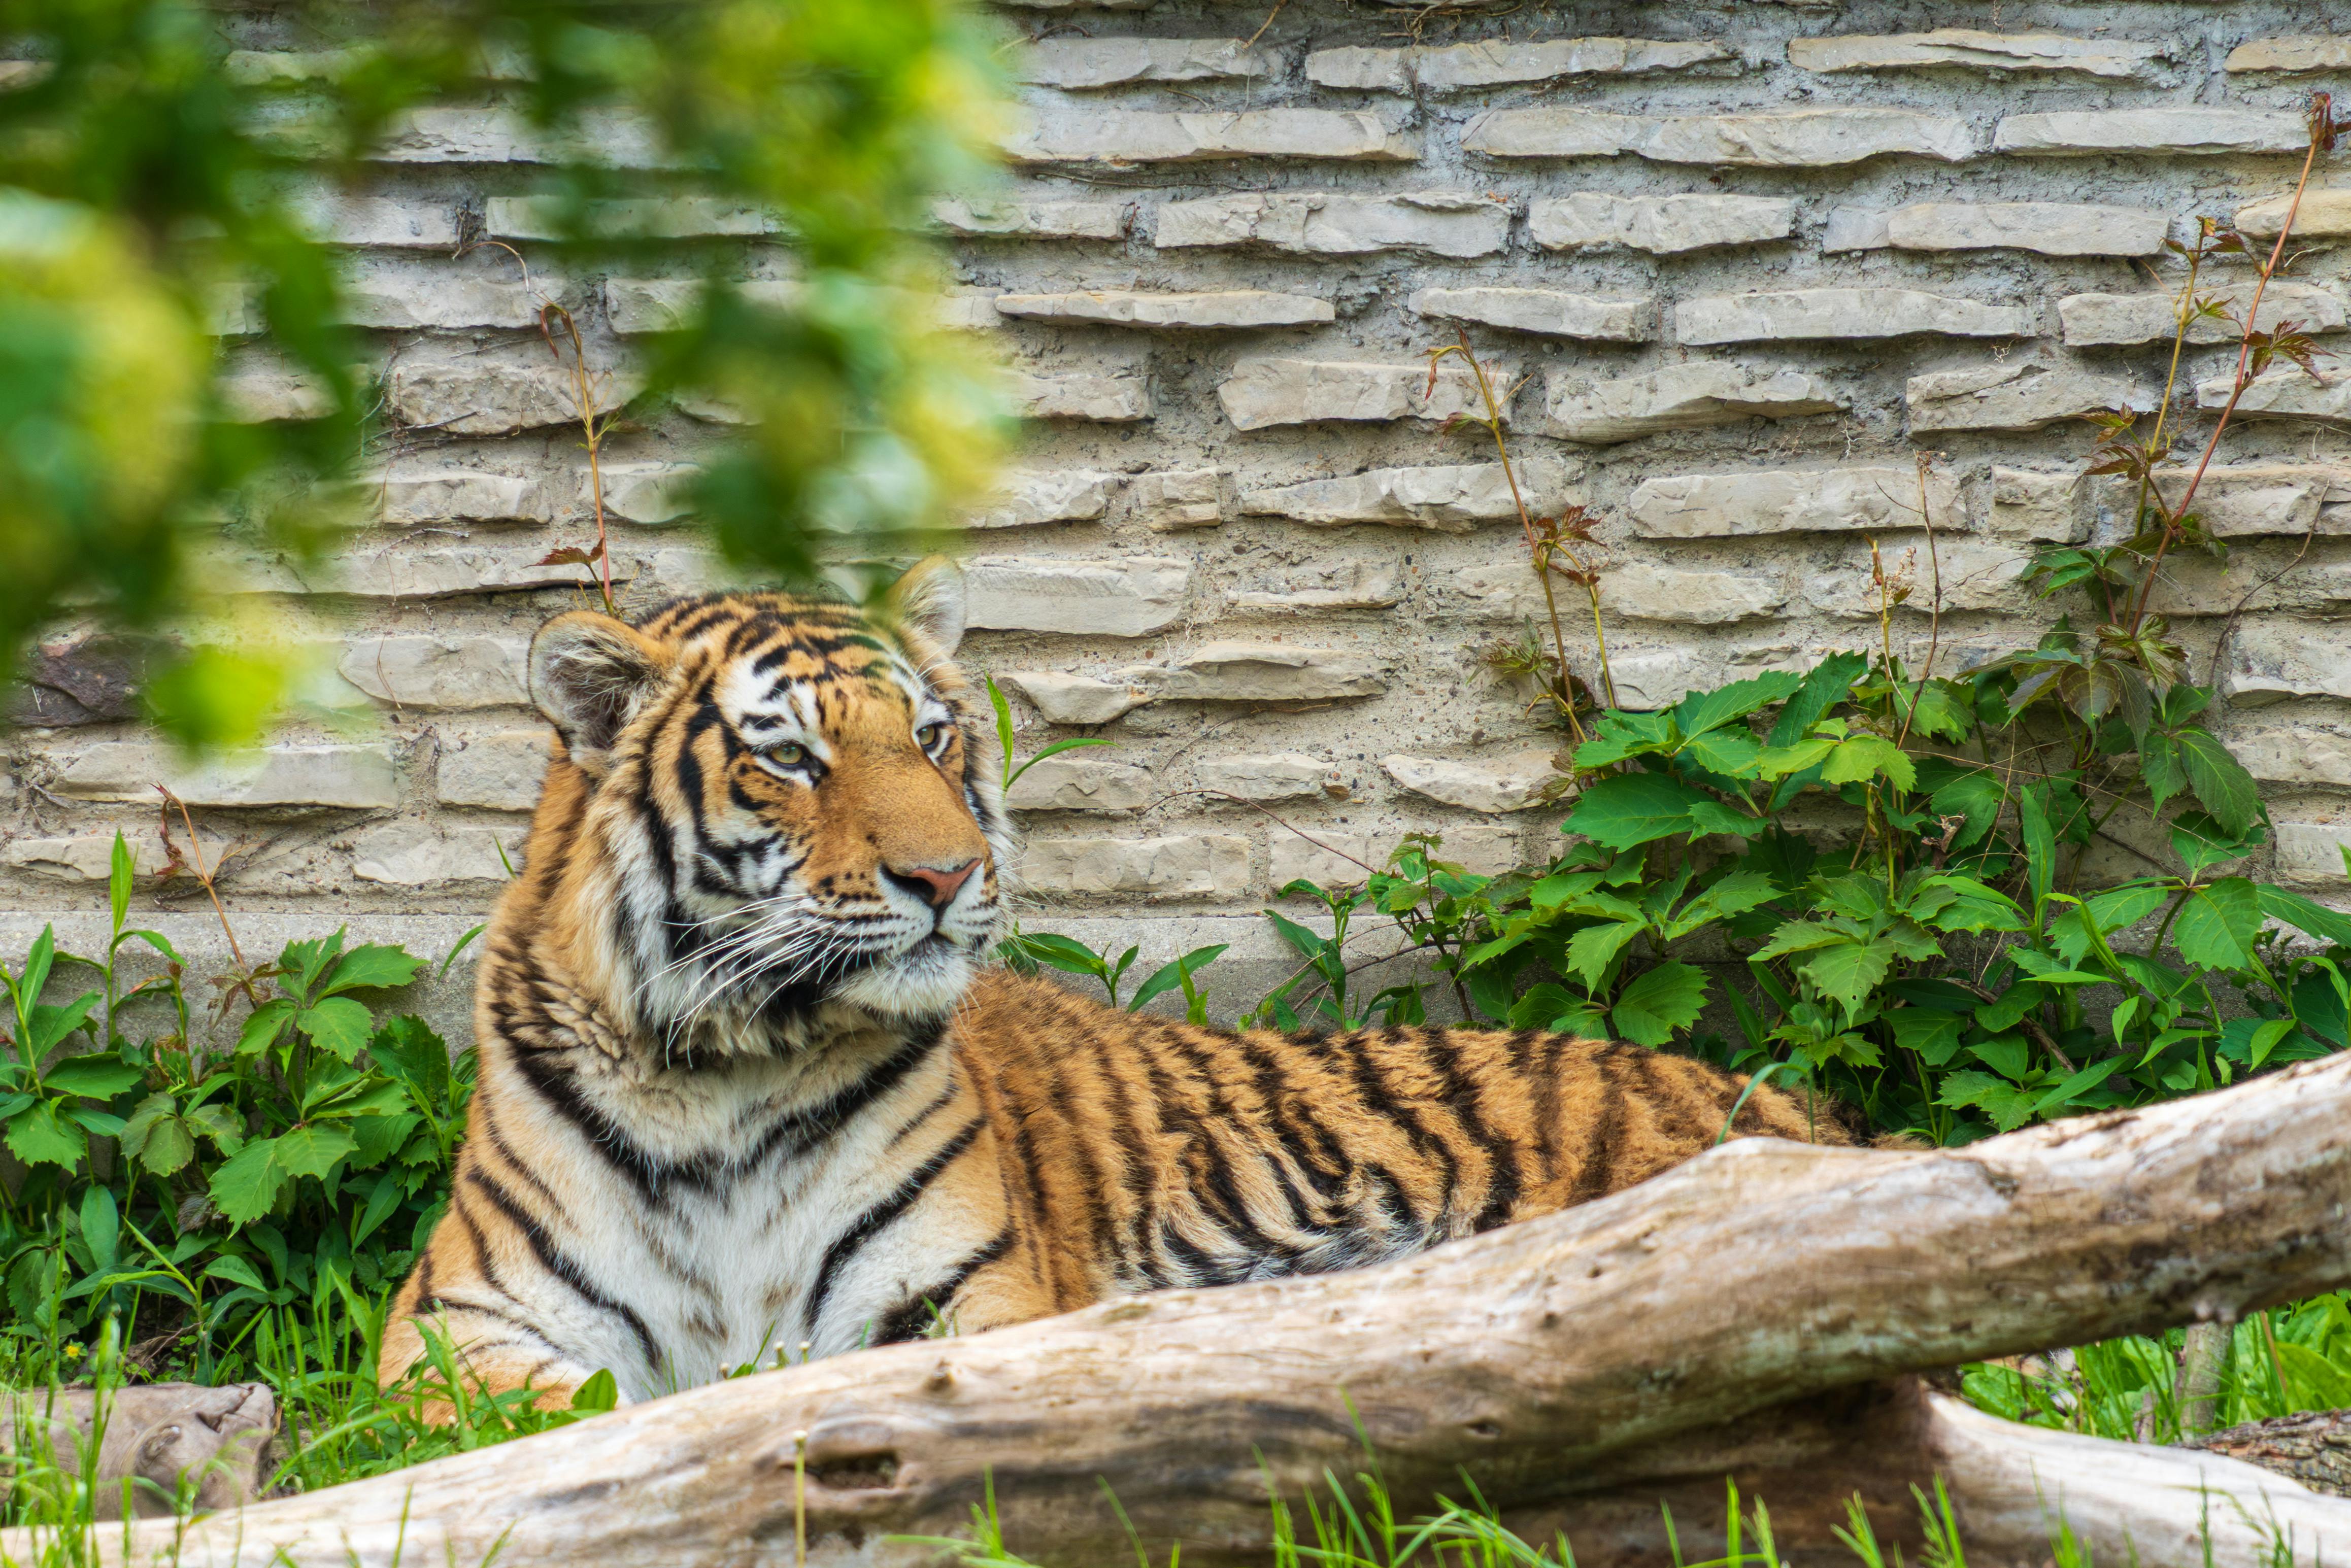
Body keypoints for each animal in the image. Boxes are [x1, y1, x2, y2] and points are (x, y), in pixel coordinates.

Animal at [379, 558, 1857, 1408]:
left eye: (932, 736)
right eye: (788, 757)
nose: (948, 874)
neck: (728, 1073)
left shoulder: (961, 1299)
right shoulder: (460, 1318)